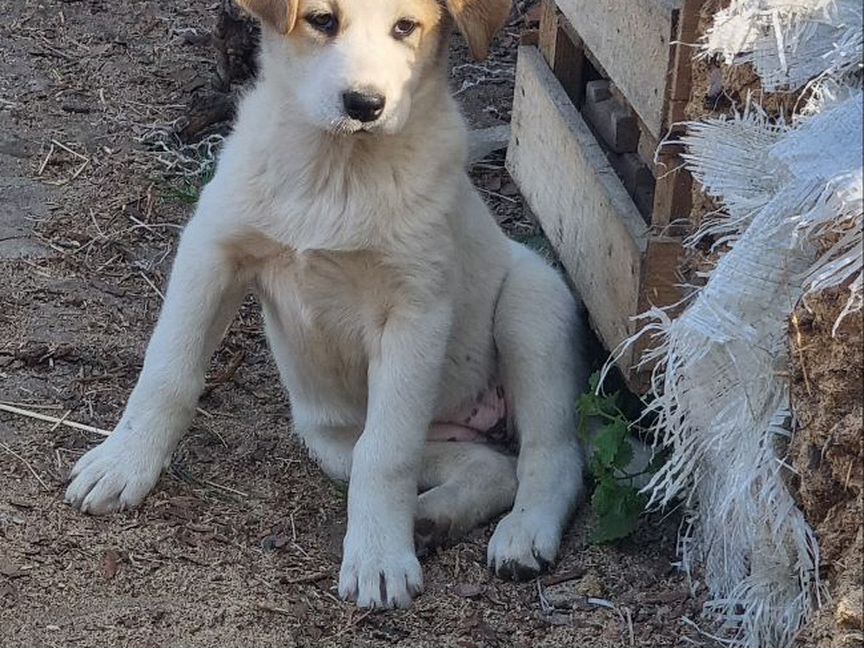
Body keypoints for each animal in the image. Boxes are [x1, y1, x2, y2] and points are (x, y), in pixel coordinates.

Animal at [66, 0, 588, 608]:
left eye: (406, 27)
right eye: (322, 20)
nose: (365, 105)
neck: (336, 170)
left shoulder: (416, 310)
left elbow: (387, 455)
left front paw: (379, 560)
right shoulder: (211, 250)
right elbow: (167, 373)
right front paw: (124, 462)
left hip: (533, 308)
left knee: (552, 455)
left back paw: (521, 533)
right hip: (333, 440)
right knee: (486, 466)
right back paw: (428, 518)